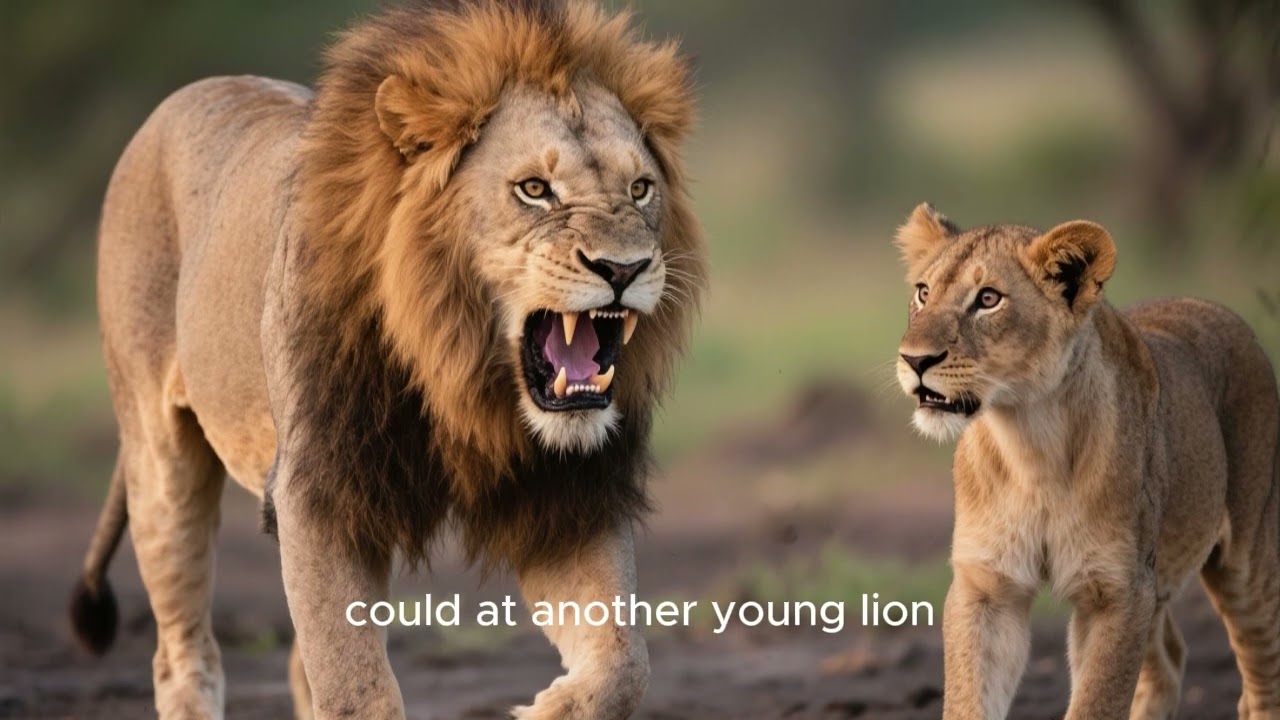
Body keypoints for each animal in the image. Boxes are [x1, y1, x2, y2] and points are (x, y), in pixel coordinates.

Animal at [67, 2, 706, 718]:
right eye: (534, 189)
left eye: (641, 188)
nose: (624, 269)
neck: (460, 369)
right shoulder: (316, 493)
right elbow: (355, 688)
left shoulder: (568, 493)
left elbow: (624, 662)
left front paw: (546, 707)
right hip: (159, 462)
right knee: (184, 653)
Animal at [893, 203, 1280, 719]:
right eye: (923, 292)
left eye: (988, 299)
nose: (914, 360)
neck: (1029, 441)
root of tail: (1214, 307)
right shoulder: (988, 585)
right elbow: (969, 700)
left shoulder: (1117, 590)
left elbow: (1098, 700)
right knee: (1169, 657)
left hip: (1244, 562)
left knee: (1262, 673)